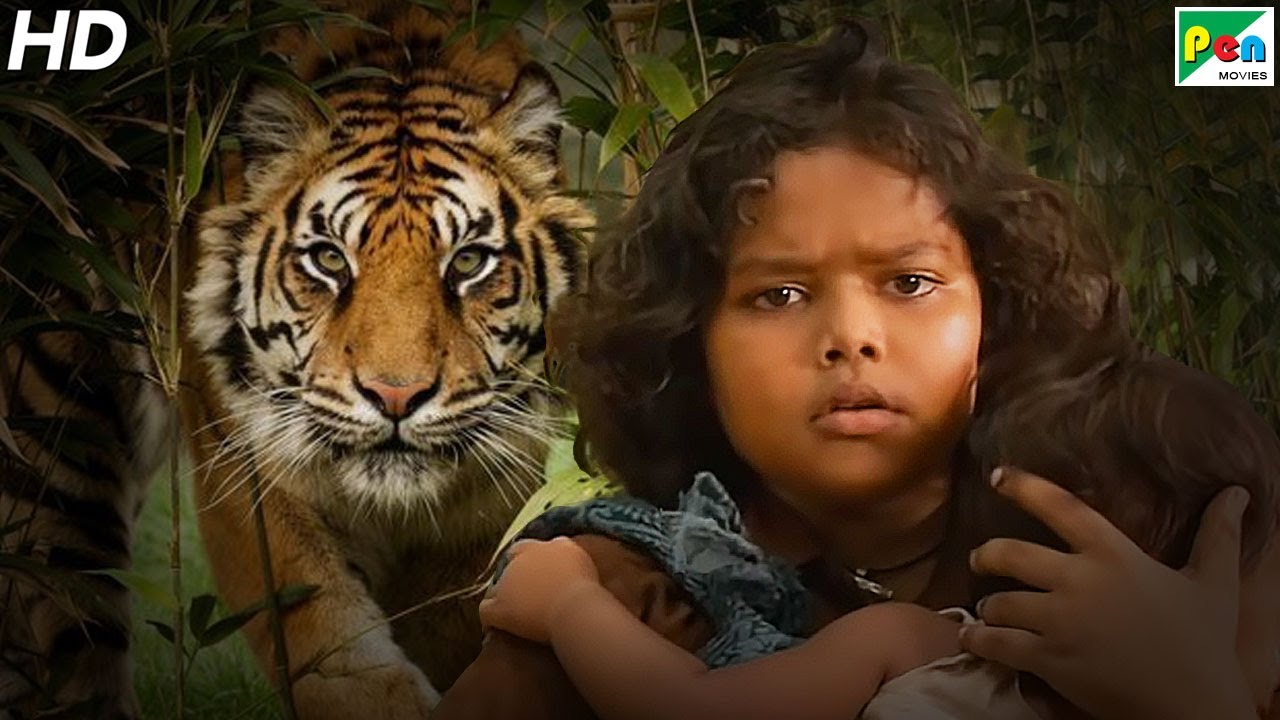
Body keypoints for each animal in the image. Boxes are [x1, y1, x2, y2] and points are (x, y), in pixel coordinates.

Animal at [0, 0, 591, 717]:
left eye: (468, 261)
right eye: (330, 259)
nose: (396, 396)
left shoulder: (487, 501)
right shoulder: (251, 475)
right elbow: (335, 659)